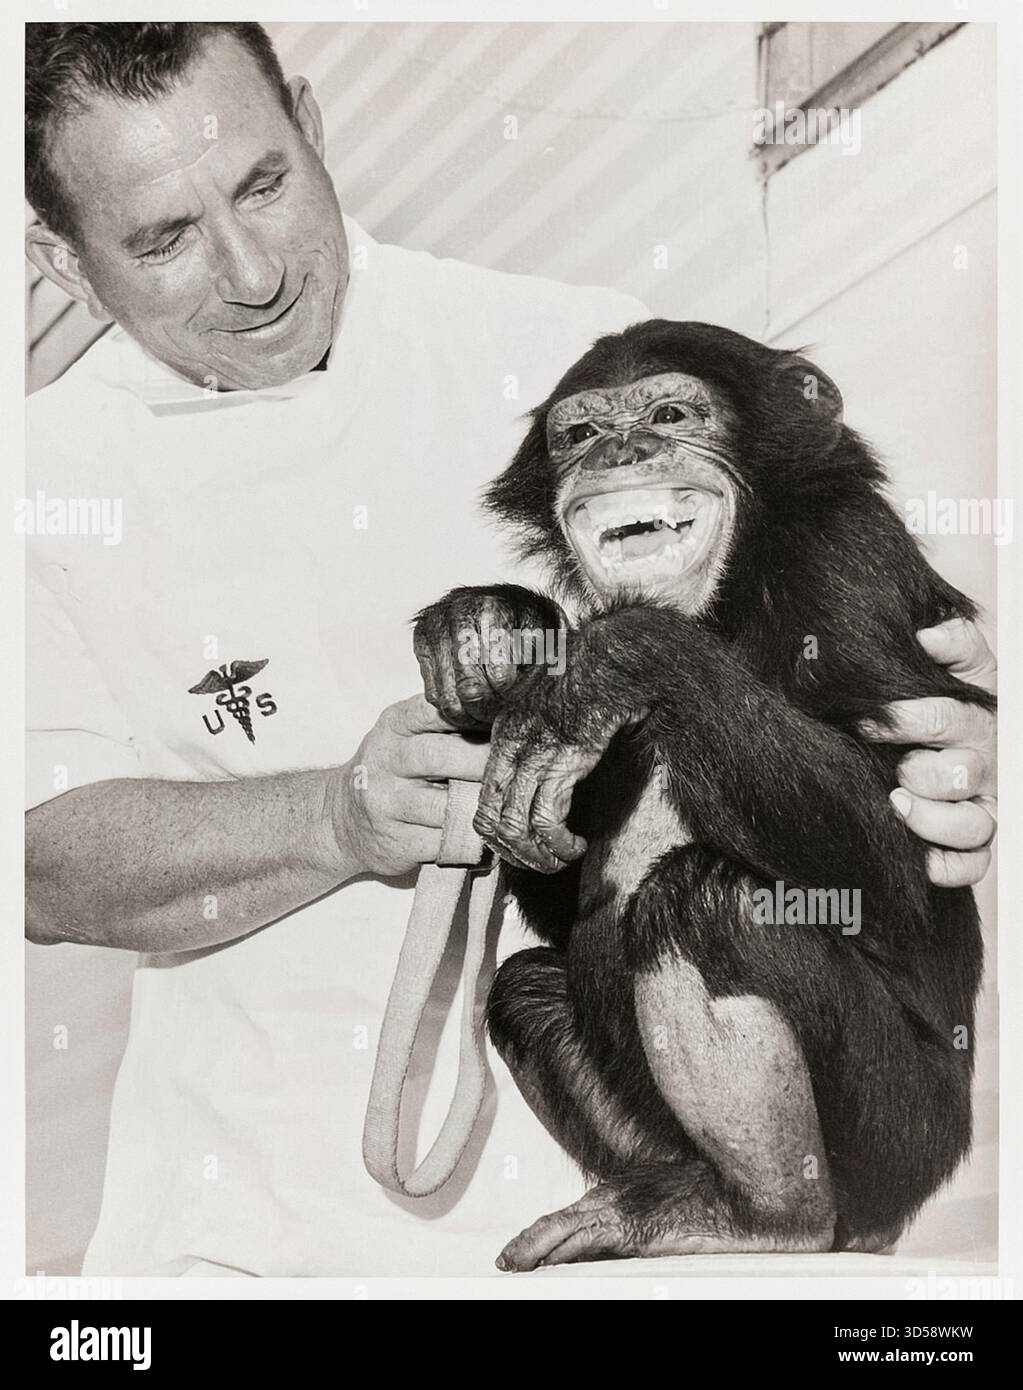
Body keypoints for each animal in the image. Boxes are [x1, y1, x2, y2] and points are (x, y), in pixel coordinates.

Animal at [412, 320, 995, 1271]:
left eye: (670, 415)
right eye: (577, 433)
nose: (617, 450)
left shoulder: (851, 561)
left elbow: (903, 861)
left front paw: (610, 660)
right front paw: (492, 626)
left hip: (906, 1140)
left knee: (707, 905)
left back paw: (763, 1217)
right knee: (528, 988)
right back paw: (664, 1197)